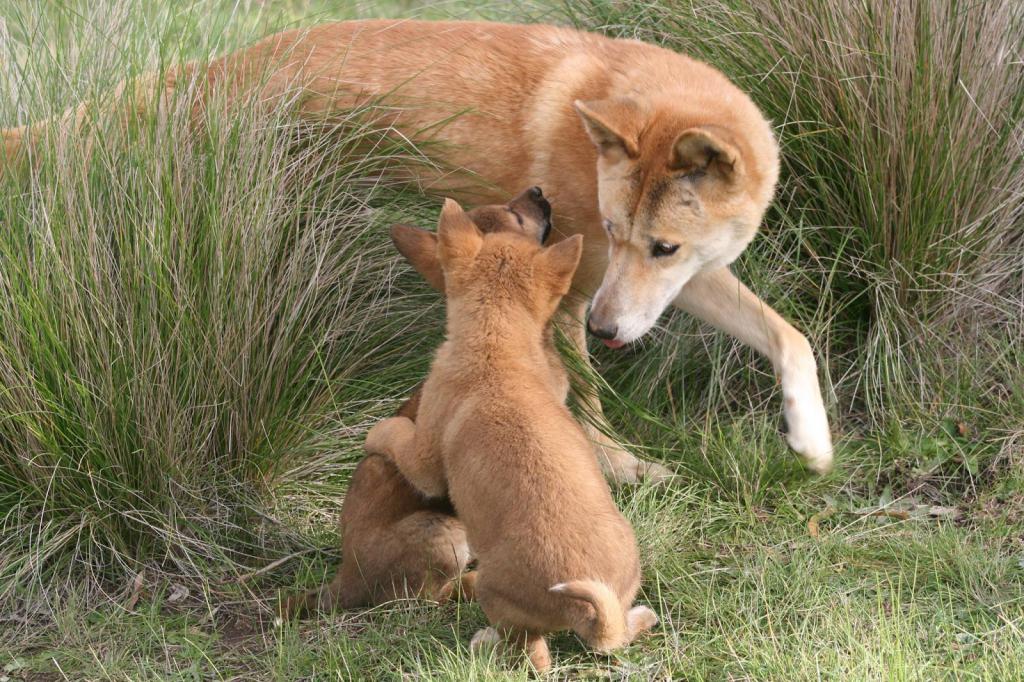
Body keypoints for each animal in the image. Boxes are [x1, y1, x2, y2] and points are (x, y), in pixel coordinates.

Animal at [2, 21, 831, 477]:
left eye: (663, 246)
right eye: (611, 227)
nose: (605, 330)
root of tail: (219, 68)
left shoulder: (682, 281)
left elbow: (793, 340)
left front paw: (812, 439)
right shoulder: (571, 293)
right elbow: (588, 399)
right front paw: (619, 466)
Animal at [364, 199, 659, 671]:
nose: (540, 198)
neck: (496, 346)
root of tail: (583, 612)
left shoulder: (426, 462)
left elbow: (395, 435)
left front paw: (375, 432)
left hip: (495, 596)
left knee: (534, 657)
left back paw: (484, 643)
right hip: (623, 582)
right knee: (614, 637)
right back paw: (641, 617)